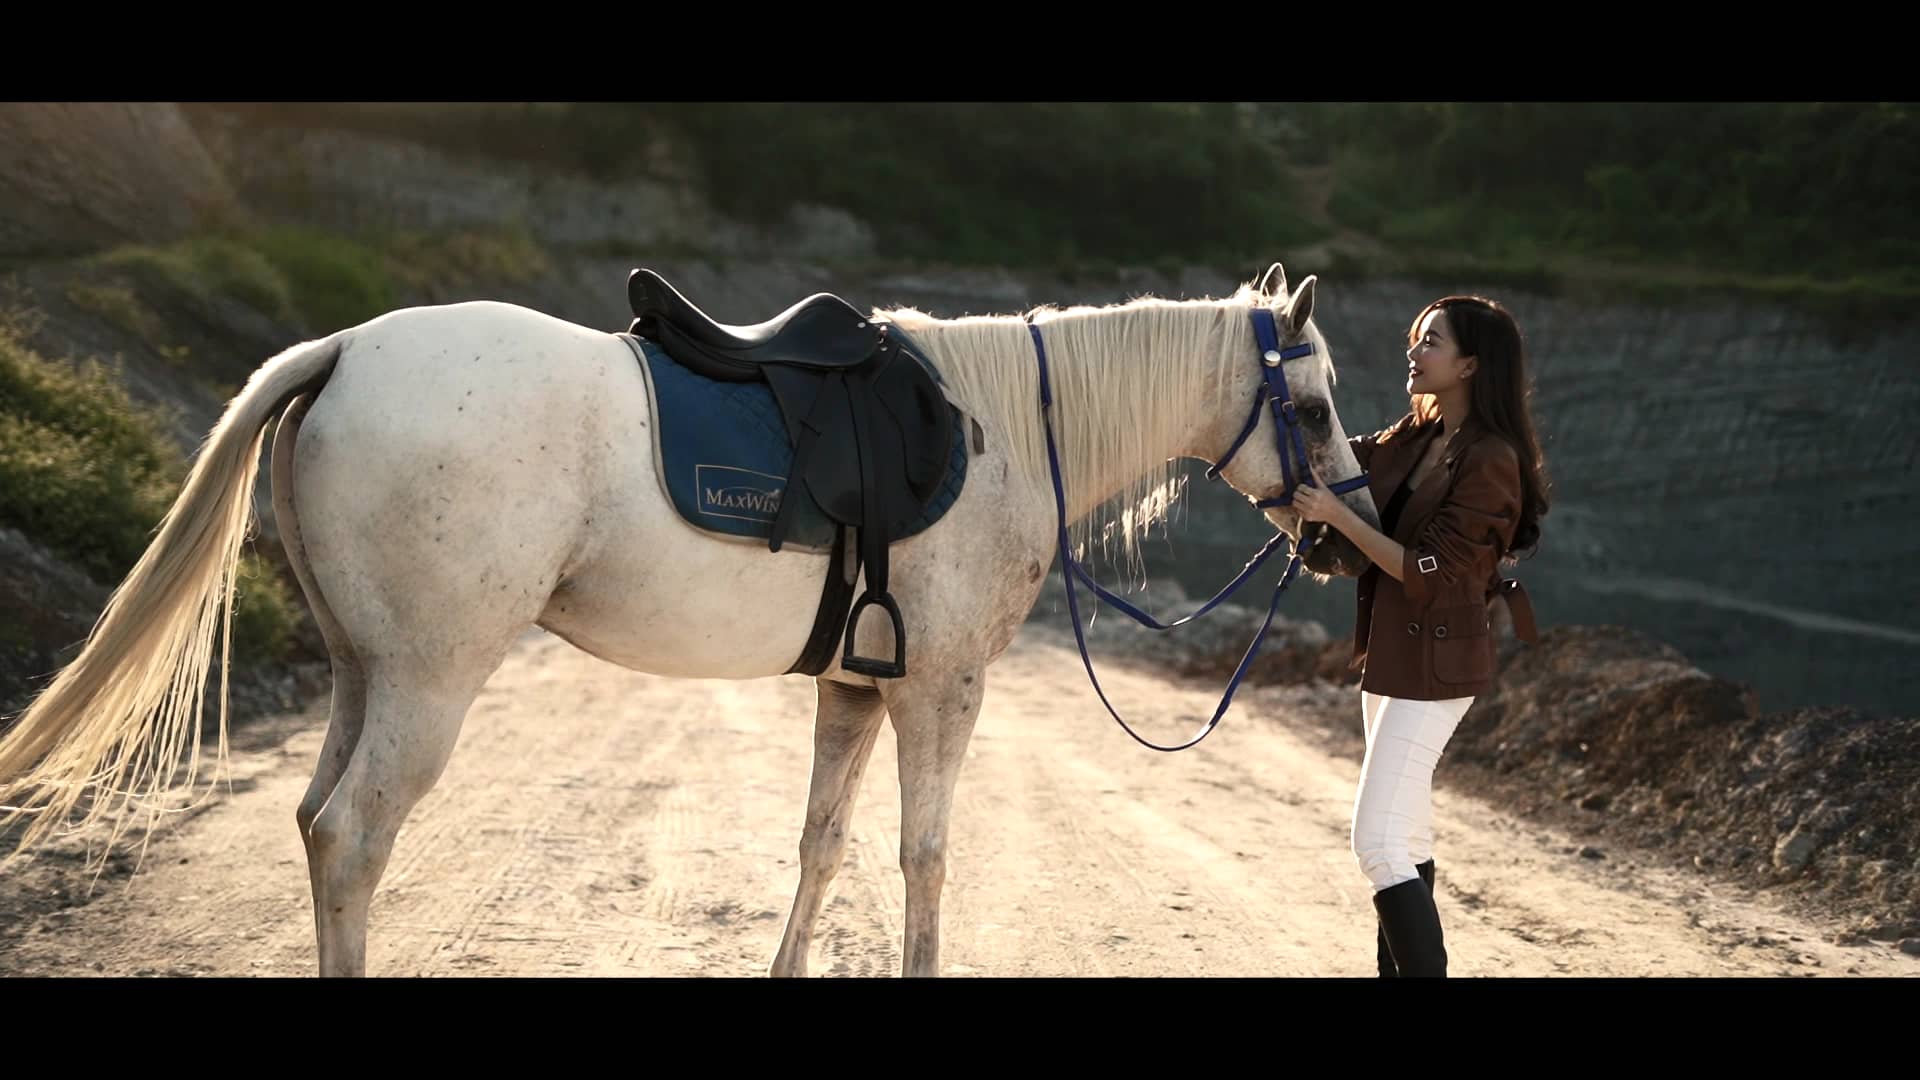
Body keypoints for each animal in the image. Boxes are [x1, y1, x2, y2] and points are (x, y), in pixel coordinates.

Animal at [0, 260, 1380, 977]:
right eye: (1312, 407)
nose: (1337, 537)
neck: (995, 430)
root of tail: (343, 350)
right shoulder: (941, 692)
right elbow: (924, 856)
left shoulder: (854, 690)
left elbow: (822, 845)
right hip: (429, 683)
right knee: (351, 837)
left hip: (361, 670)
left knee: (314, 820)